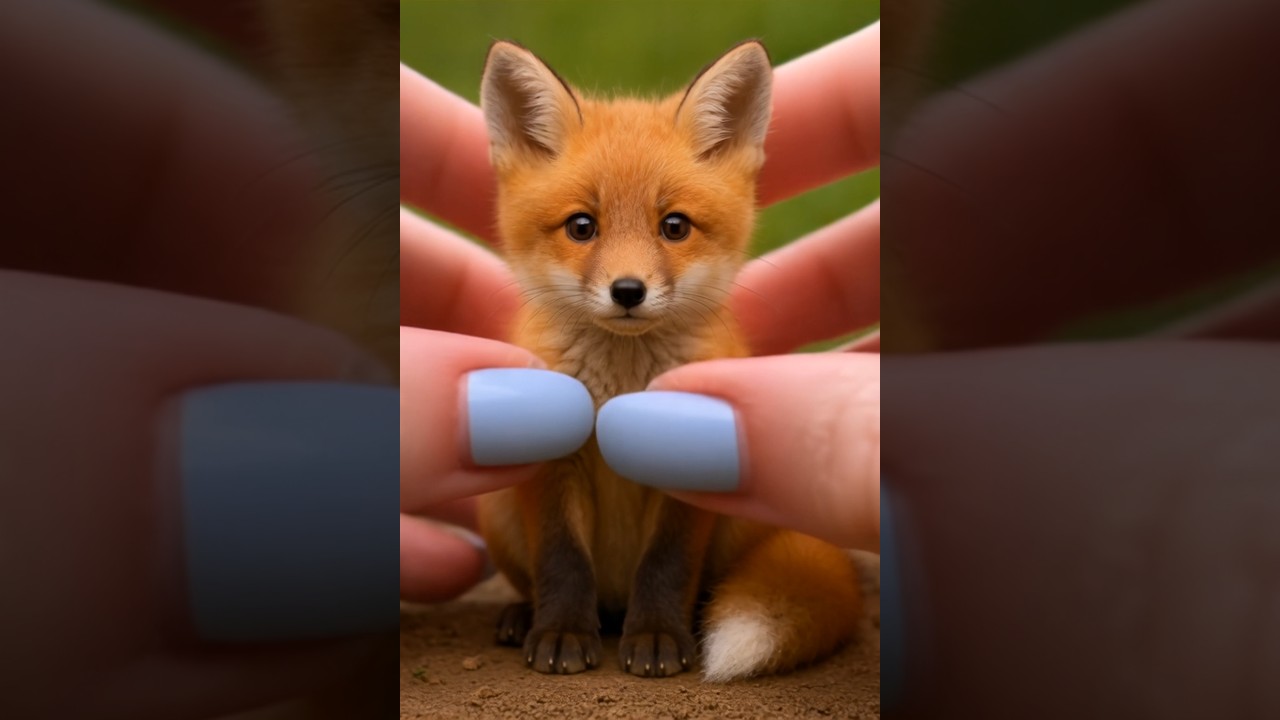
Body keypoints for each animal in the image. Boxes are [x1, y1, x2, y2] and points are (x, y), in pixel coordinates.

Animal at [475, 39, 863, 683]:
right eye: (582, 226)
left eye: (674, 226)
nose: (628, 291)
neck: (620, 386)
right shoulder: (550, 459)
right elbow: (560, 557)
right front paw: (560, 633)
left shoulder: (692, 451)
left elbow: (668, 562)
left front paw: (657, 637)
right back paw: (522, 616)